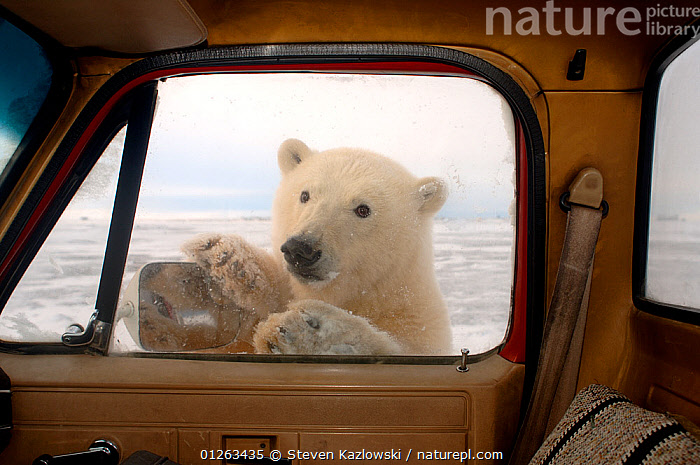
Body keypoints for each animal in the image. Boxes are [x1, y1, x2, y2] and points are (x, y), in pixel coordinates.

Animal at [181, 139, 452, 355]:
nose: (301, 250)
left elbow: (405, 348)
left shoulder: (415, 315)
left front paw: (306, 332)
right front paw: (228, 260)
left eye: (363, 209)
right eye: (305, 195)